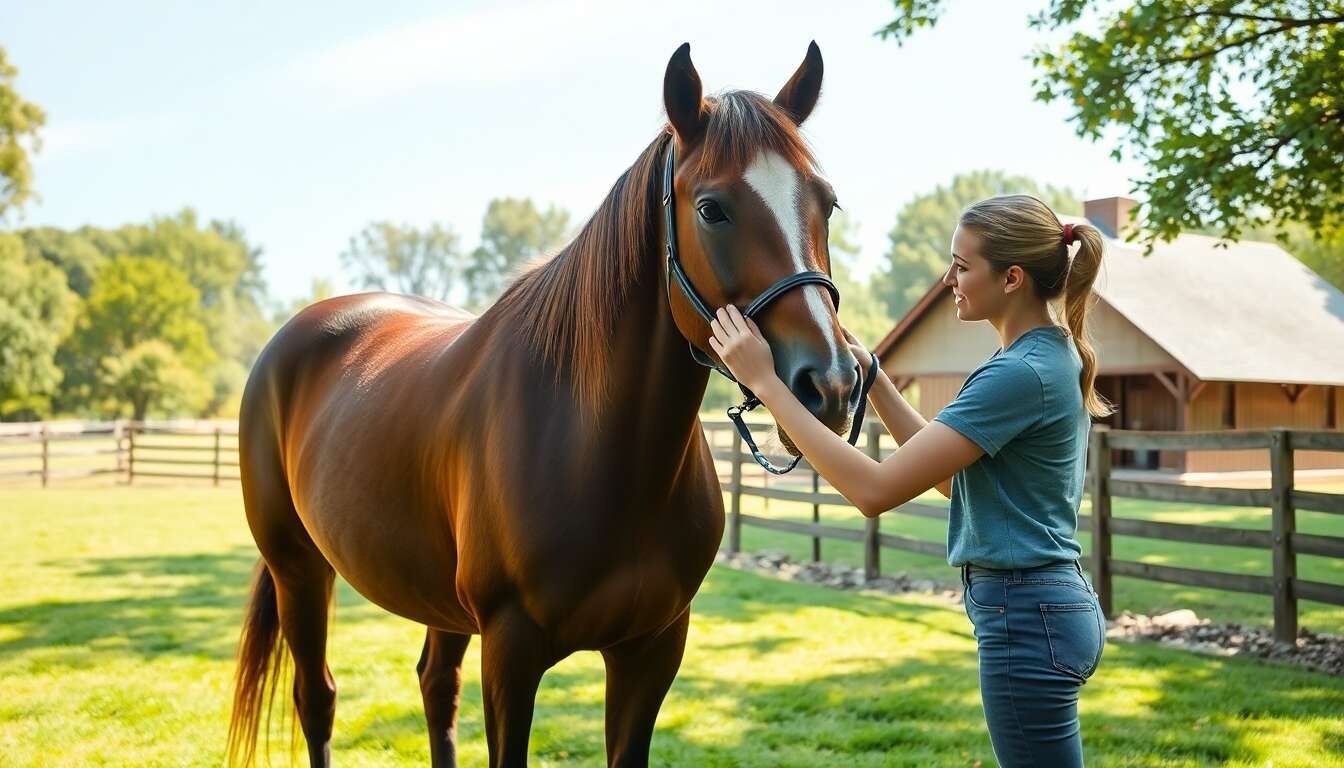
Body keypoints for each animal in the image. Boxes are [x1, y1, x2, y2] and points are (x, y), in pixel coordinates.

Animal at [228, 41, 862, 768]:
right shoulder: (511, 653)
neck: (595, 450)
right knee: (318, 698)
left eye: (827, 203)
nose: (831, 385)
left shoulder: (651, 652)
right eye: (711, 209)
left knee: (434, 685)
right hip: (299, 569)